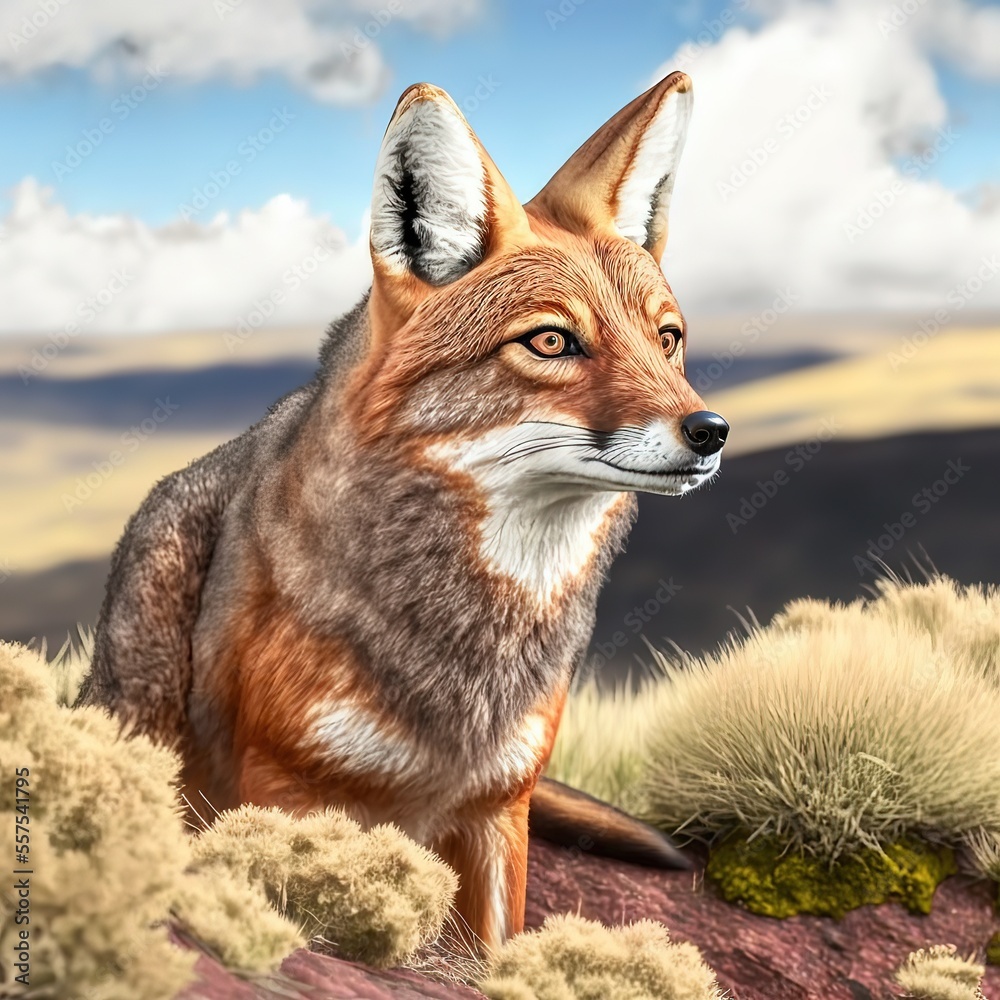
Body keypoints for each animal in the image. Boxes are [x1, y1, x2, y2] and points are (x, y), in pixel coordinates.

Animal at [77, 70, 728, 951]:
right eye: (551, 342)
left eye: (667, 340)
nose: (710, 431)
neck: (466, 664)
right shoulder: (286, 787)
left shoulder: (498, 810)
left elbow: (494, 950)